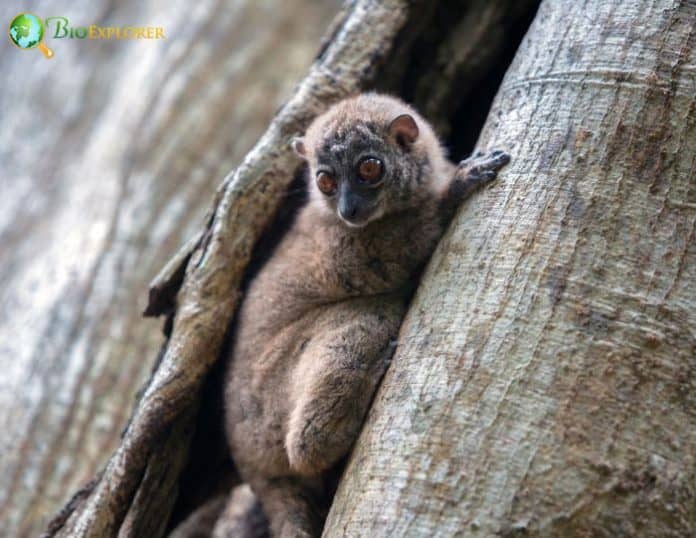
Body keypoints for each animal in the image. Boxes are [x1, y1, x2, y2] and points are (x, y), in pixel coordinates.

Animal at [222, 93, 510, 537]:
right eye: (325, 181)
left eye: (368, 169)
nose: (348, 209)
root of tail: (252, 469)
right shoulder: (338, 244)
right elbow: (373, 266)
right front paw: (457, 186)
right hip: (270, 397)